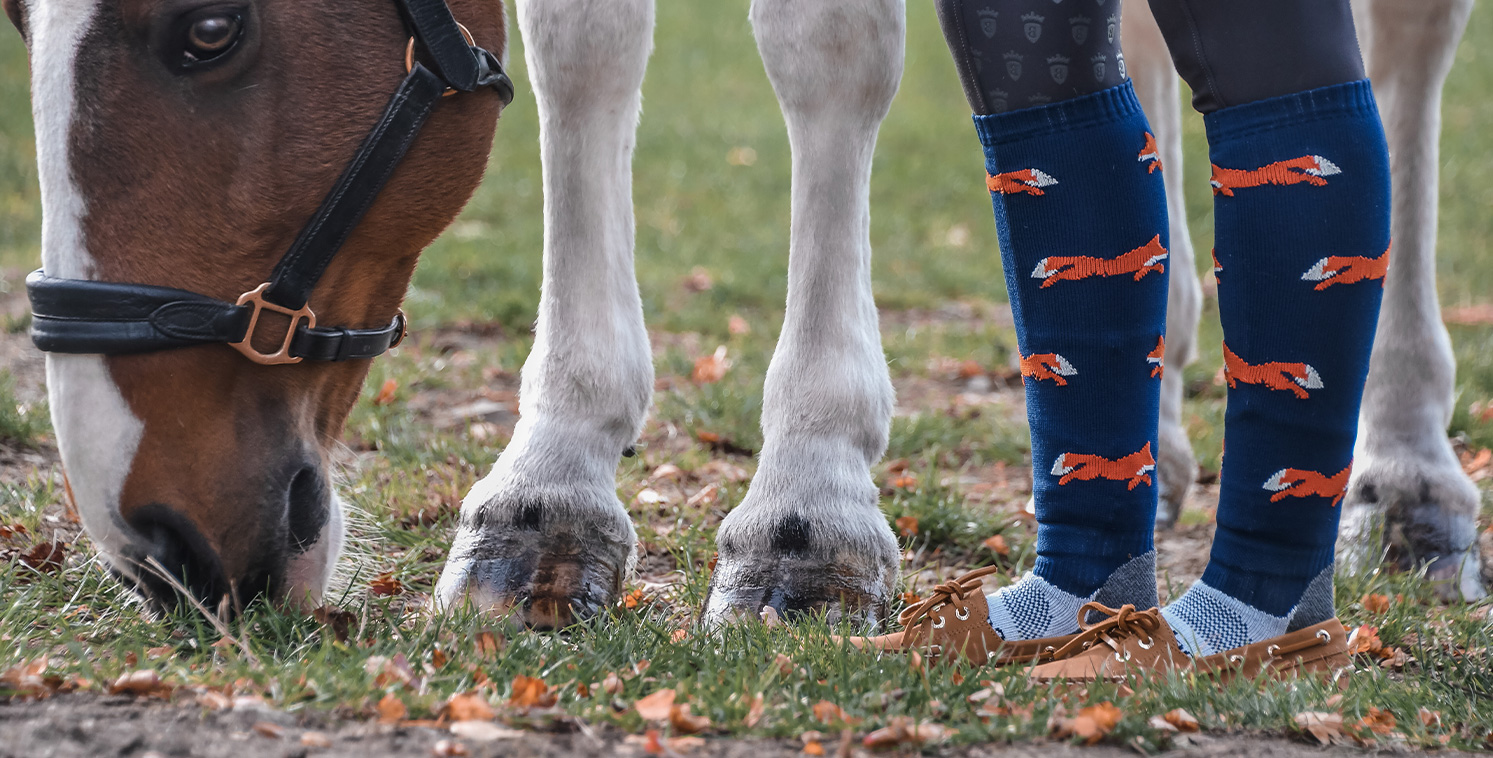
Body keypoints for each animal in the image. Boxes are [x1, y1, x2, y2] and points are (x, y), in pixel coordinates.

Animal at [6, 0, 1481, 628]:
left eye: (207, 30)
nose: (154, 542)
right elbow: (582, 44)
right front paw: (549, 493)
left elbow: (821, 43)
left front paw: (808, 511)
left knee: (1397, 62)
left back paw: (1405, 476)